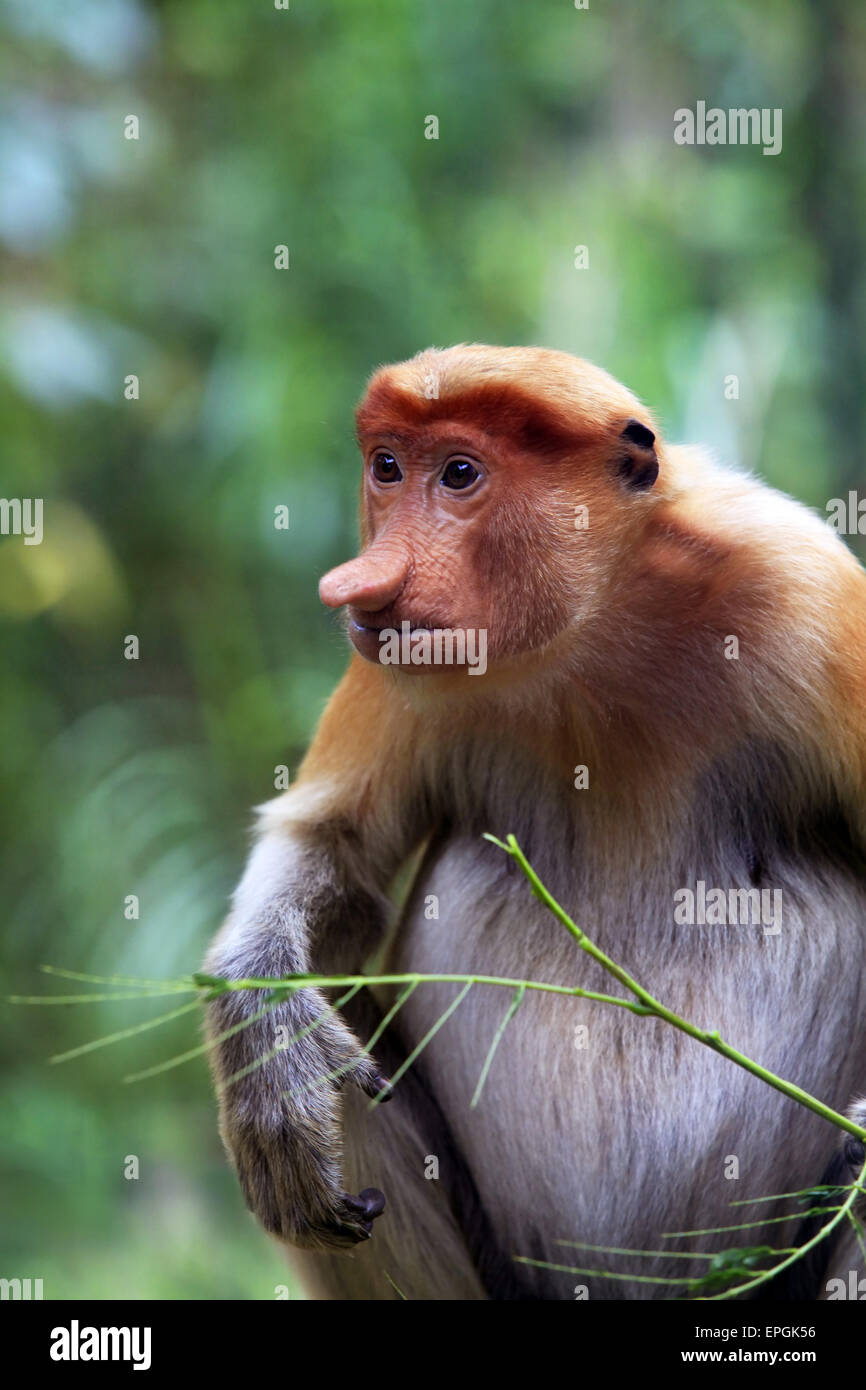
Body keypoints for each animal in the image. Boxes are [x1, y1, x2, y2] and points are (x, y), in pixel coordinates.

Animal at [203, 343, 866, 1300]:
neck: (594, 626)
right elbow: (332, 844)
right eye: (387, 466)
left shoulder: (809, 595)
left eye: (461, 474)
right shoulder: (393, 660)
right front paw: (265, 1034)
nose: (355, 583)